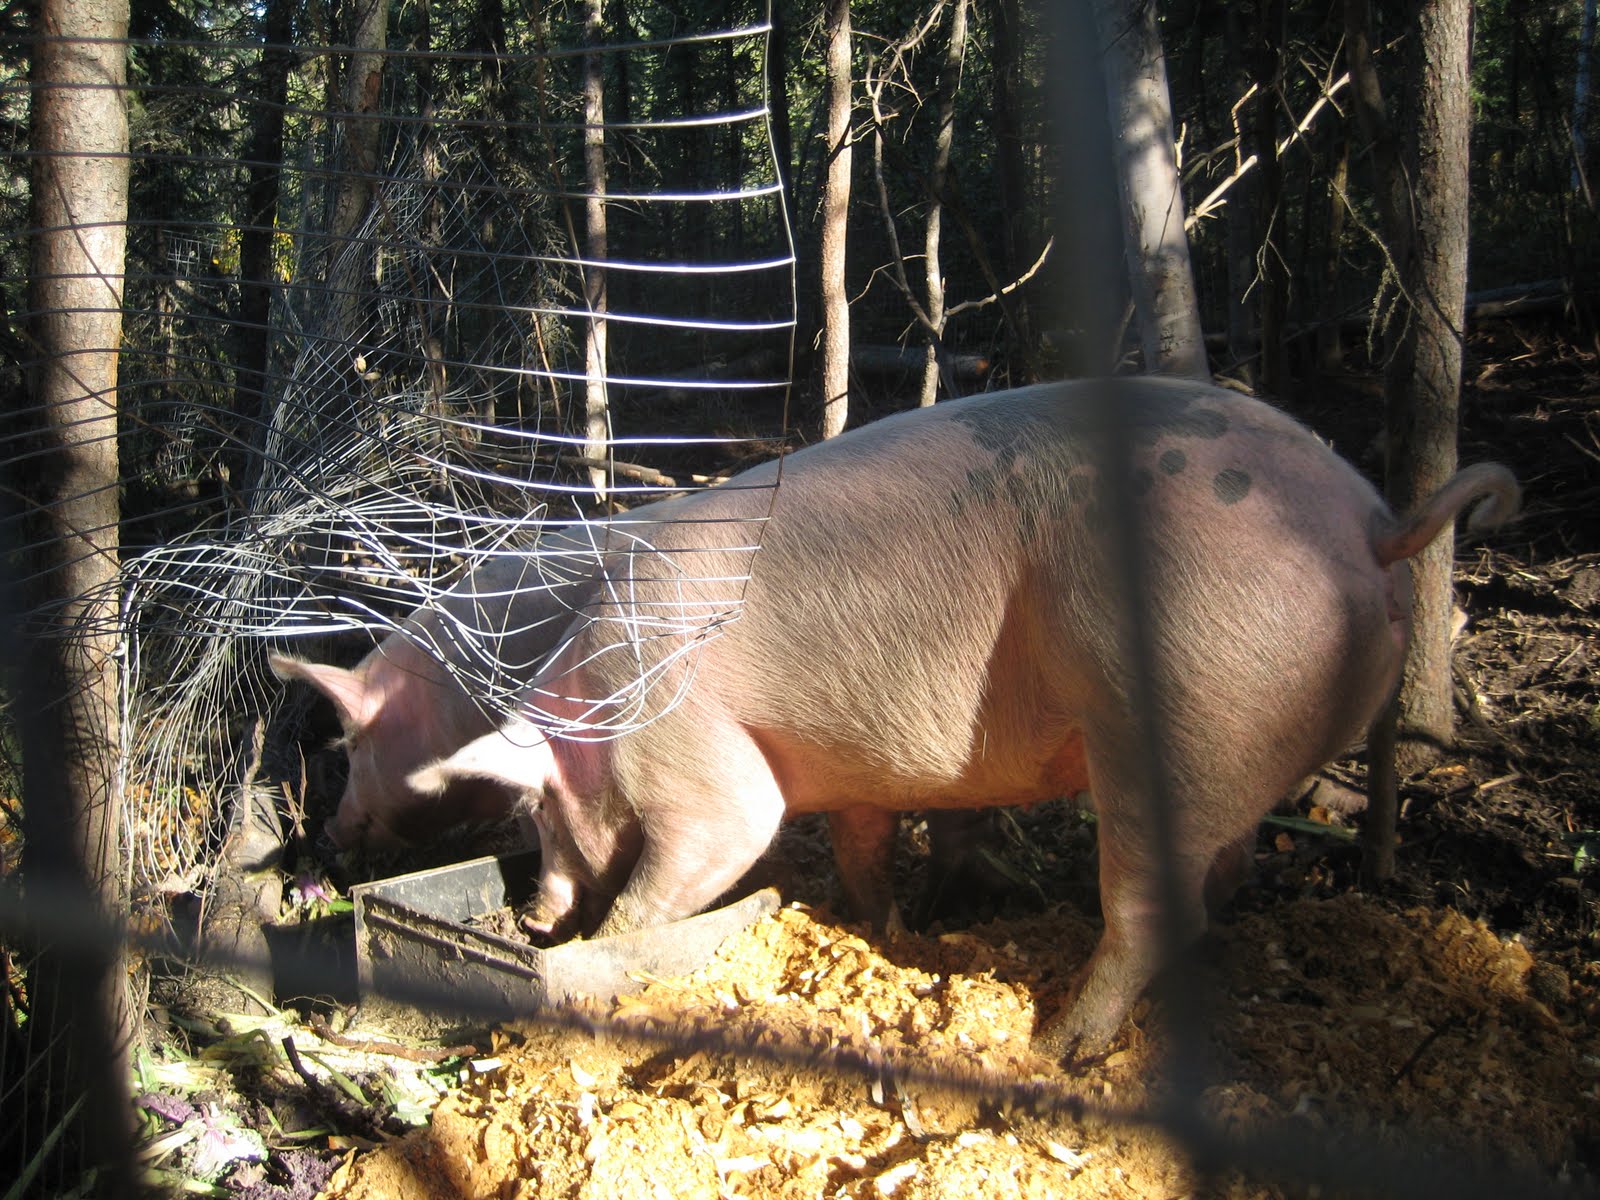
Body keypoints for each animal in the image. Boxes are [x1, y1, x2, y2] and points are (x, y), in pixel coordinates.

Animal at [407, 376, 1517, 1053]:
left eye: (540, 807)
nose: (530, 917)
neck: (605, 695)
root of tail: (1374, 522)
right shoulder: (849, 772)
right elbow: (861, 852)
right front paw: (892, 932)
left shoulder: (704, 769)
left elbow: (703, 856)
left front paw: (597, 946)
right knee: (1223, 871)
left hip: (1175, 709)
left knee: (1153, 905)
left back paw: (1058, 1046)